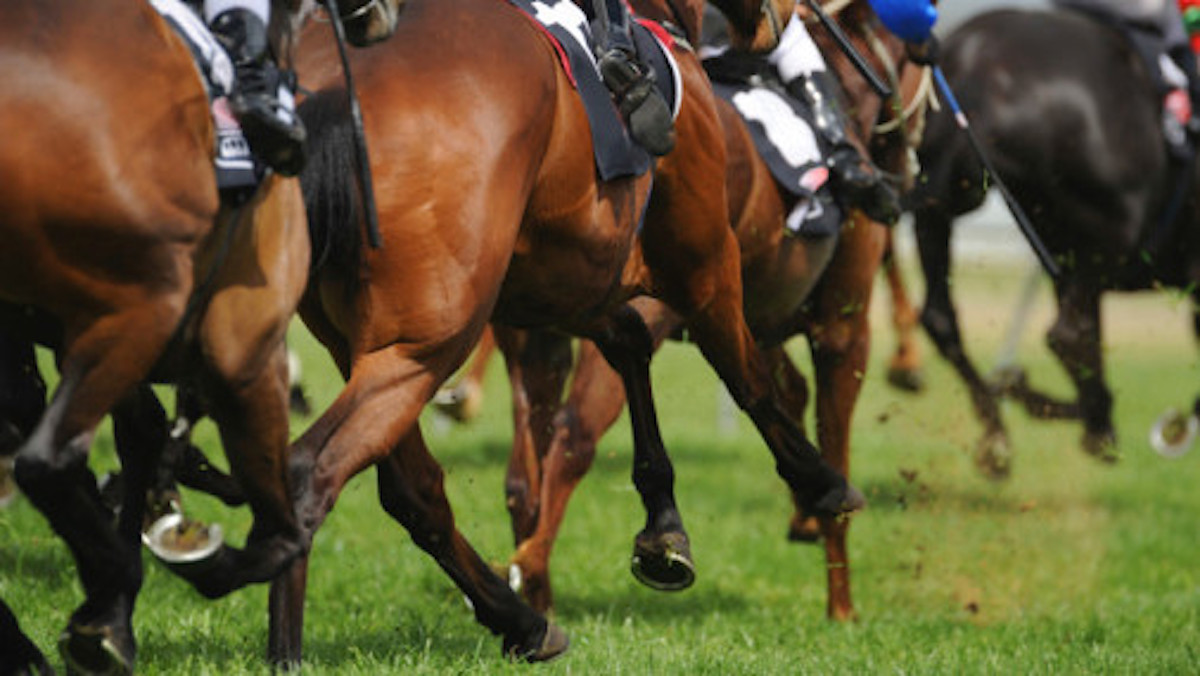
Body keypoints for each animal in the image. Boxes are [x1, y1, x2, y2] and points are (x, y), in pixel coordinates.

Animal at [277, 0, 863, 663]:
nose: (785, 17)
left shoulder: (563, 284)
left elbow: (627, 346)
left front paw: (663, 529)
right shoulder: (704, 259)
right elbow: (748, 378)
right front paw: (822, 483)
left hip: (368, 344)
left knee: (413, 491)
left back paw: (522, 620)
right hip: (422, 345)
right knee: (312, 472)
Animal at [496, 0, 925, 620]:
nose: (906, 174)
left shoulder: (751, 322)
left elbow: (785, 395)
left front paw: (805, 514)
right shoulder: (841, 328)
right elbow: (828, 436)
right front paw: (841, 602)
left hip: (533, 327)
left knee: (523, 472)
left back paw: (536, 590)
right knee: (575, 434)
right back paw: (542, 564)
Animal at [907, 7, 1200, 478]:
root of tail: (980, 60)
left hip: (948, 203)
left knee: (941, 317)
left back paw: (1002, 430)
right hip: (1108, 232)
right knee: (1068, 334)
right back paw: (1093, 425)